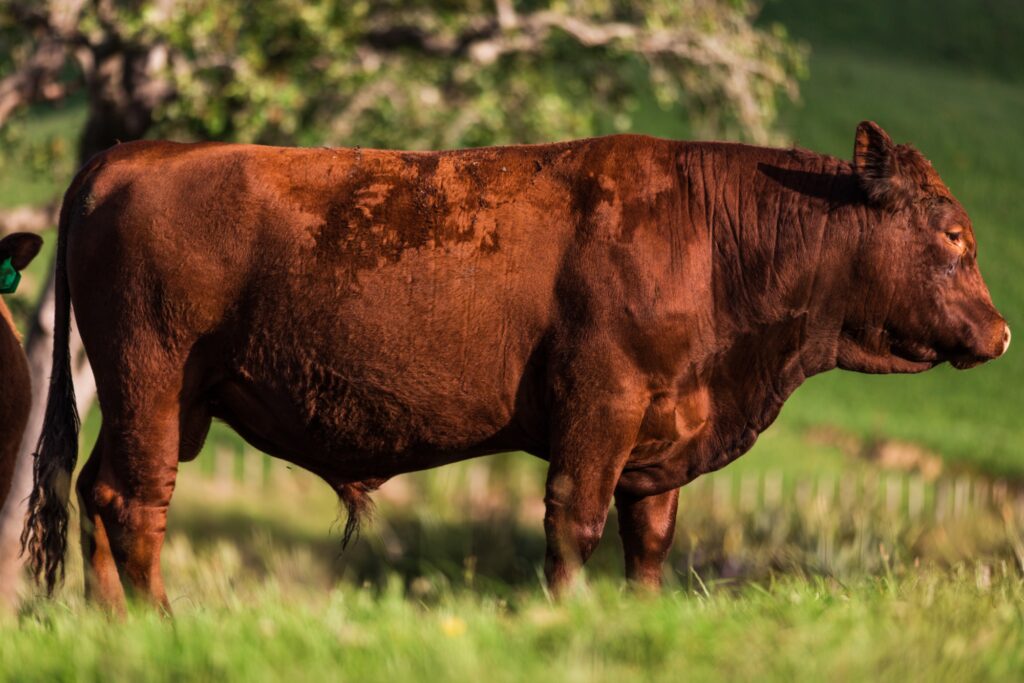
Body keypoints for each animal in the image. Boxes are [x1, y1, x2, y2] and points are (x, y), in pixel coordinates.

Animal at [21, 121, 1009, 610]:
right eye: (954, 235)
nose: (1001, 334)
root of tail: (133, 155)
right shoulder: (599, 407)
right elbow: (572, 525)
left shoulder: (661, 440)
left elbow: (649, 542)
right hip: (153, 380)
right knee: (134, 502)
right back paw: (158, 623)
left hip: (158, 399)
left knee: (97, 488)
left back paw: (111, 628)